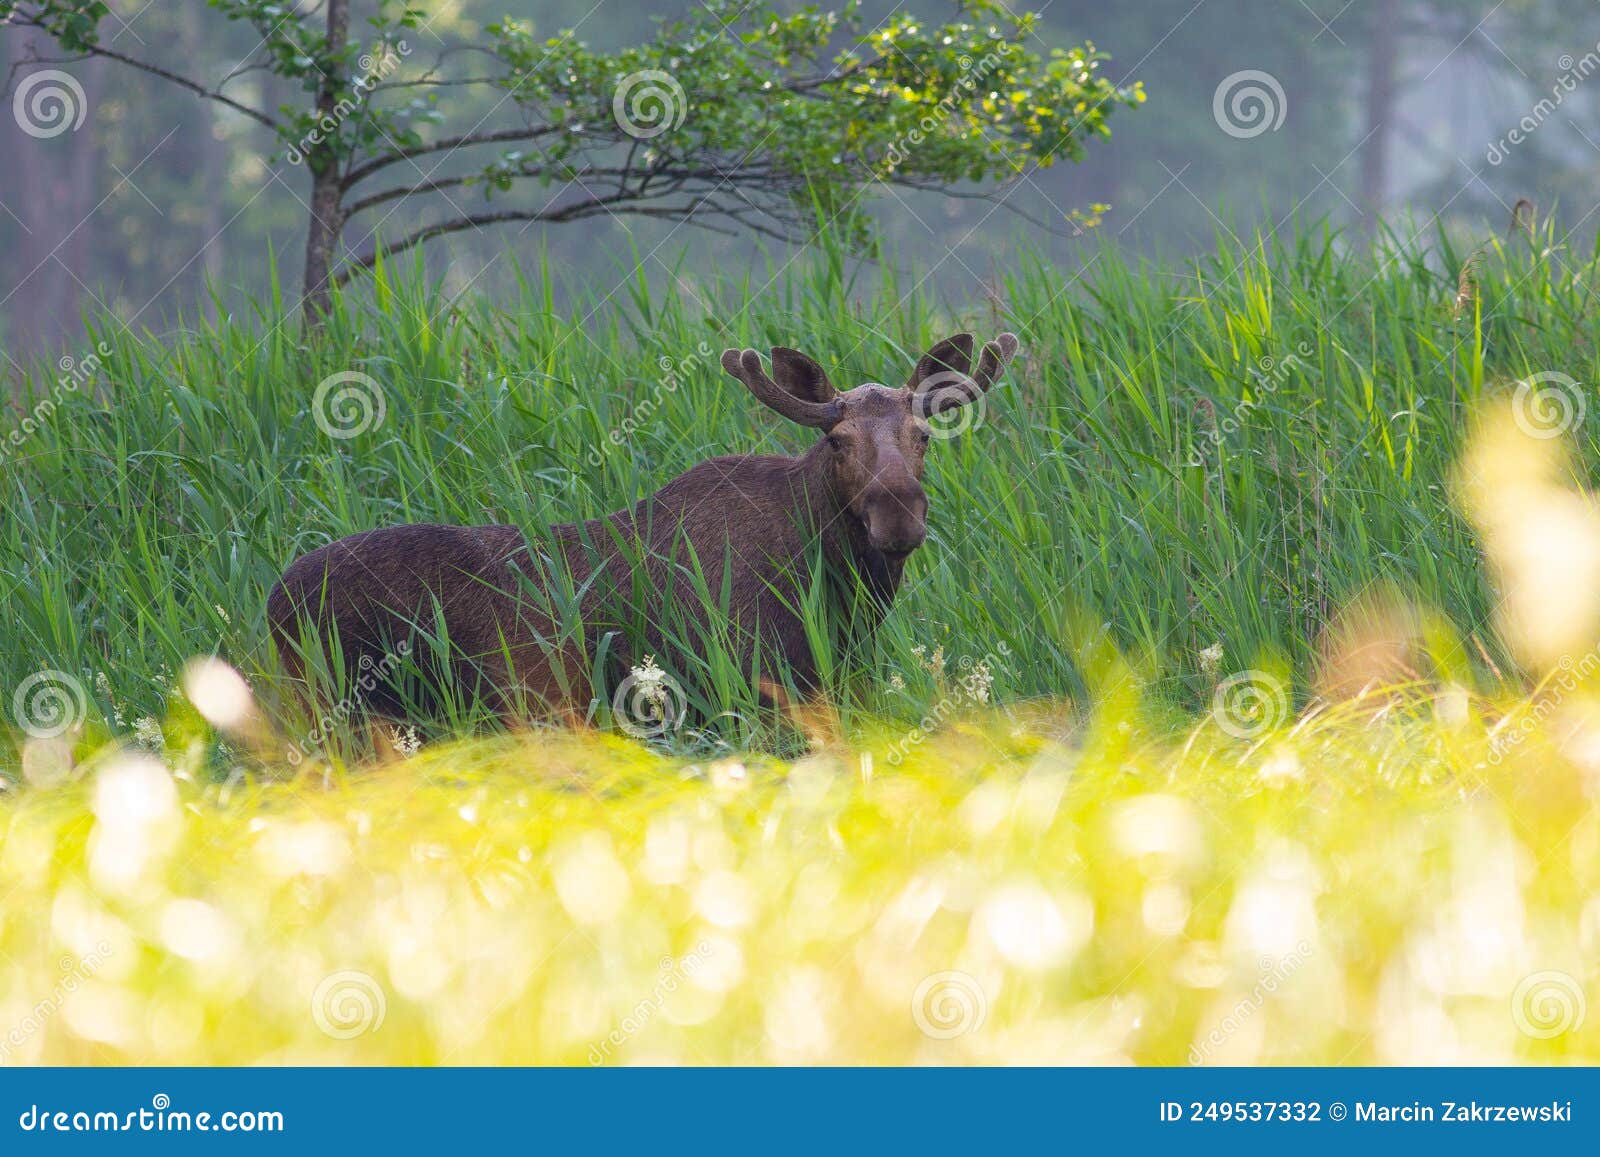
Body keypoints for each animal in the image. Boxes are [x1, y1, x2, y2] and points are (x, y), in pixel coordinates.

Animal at [266, 331, 1020, 728]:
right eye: (835, 440)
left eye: (924, 434)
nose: (899, 513)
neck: (840, 589)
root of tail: (269, 603)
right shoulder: (744, 684)